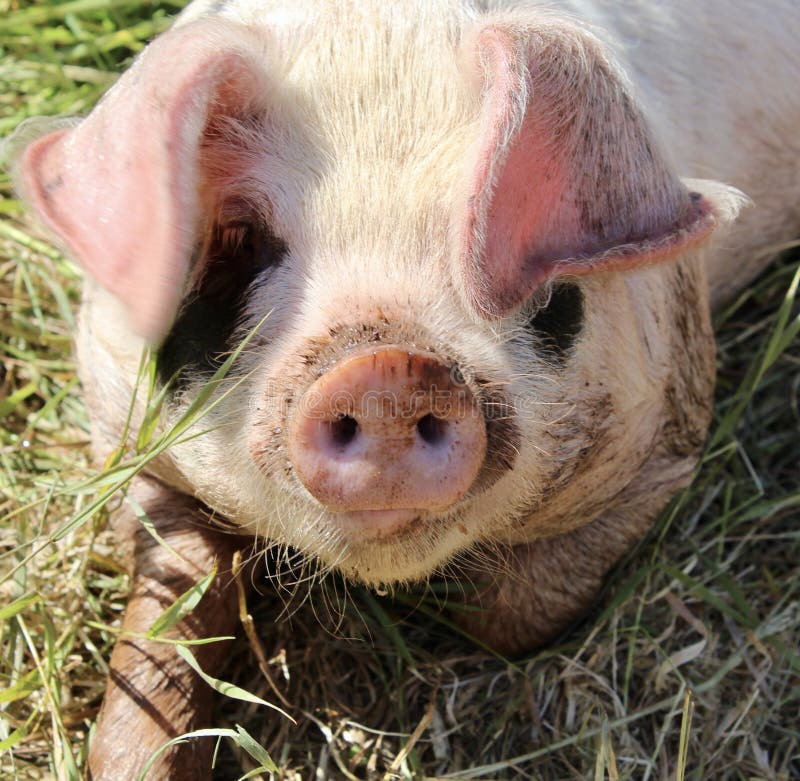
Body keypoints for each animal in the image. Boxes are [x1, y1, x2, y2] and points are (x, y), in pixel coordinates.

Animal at [12, 0, 800, 777]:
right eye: (242, 239)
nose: (388, 370)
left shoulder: (666, 428)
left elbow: (515, 611)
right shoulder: (119, 432)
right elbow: (169, 603)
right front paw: (130, 756)